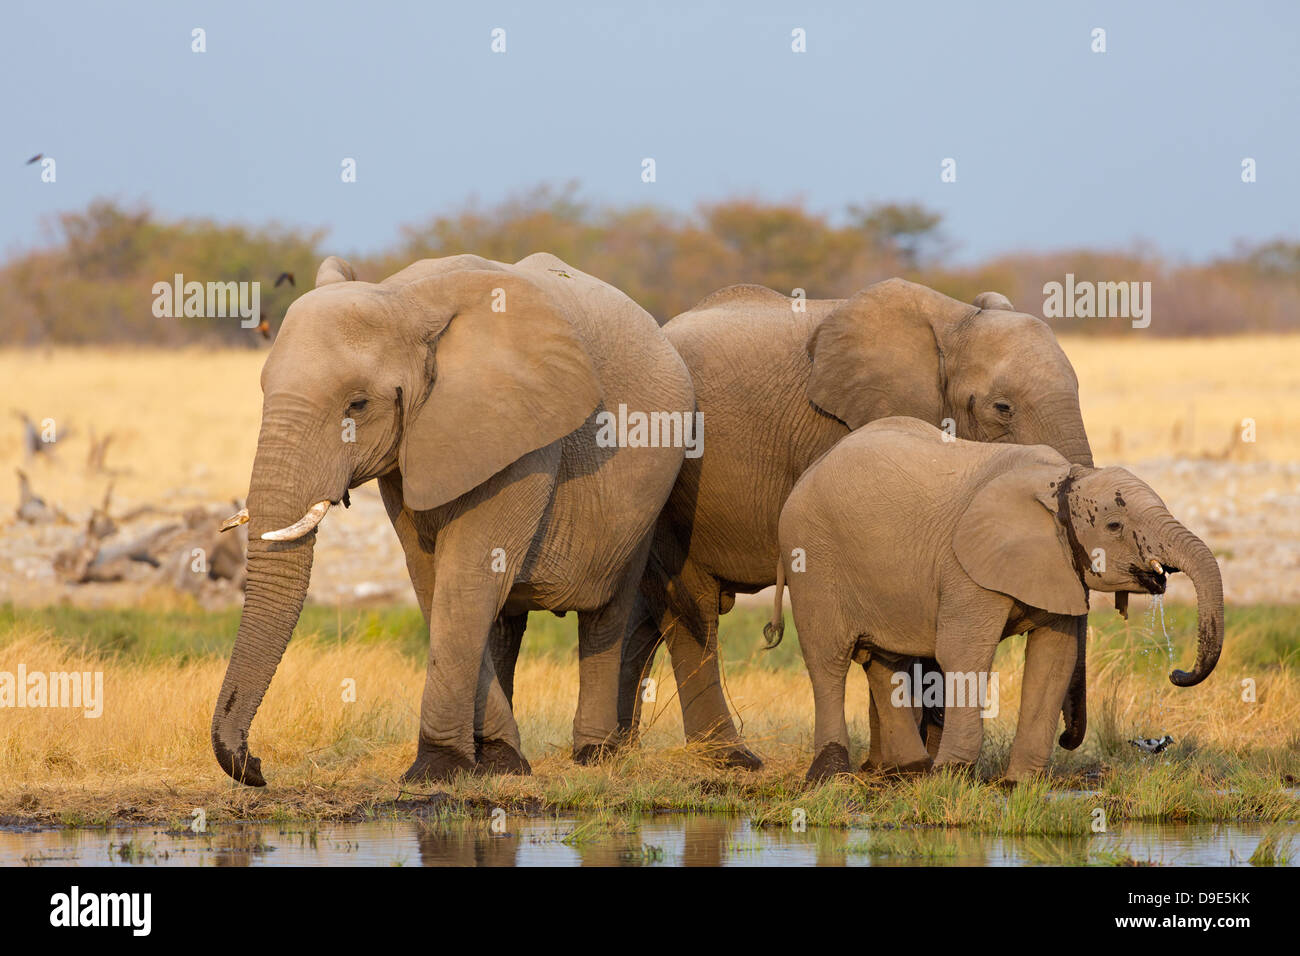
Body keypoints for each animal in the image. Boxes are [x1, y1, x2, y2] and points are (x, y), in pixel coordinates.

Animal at [210, 252, 694, 786]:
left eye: (357, 404)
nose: (257, 767)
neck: (403, 299)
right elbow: (432, 580)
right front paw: (499, 762)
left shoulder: (520, 430)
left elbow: (466, 580)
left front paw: (437, 770)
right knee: (504, 622)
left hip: (648, 498)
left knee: (607, 613)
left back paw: (595, 755)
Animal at [608, 278, 1094, 769]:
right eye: (1003, 408)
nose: (1068, 738)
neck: (954, 322)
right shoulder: (846, 429)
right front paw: (894, 769)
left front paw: (901, 765)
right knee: (692, 610)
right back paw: (731, 758)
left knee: (644, 615)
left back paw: (614, 750)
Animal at [765, 416, 1223, 782]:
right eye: (1113, 525)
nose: (1177, 673)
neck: (1059, 483)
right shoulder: (966, 567)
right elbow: (964, 653)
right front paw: (951, 777)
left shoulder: (1055, 563)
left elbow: (1054, 660)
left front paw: (1018, 784)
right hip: (812, 556)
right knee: (828, 660)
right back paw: (830, 774)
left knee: (883, 659)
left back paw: (910, 770)